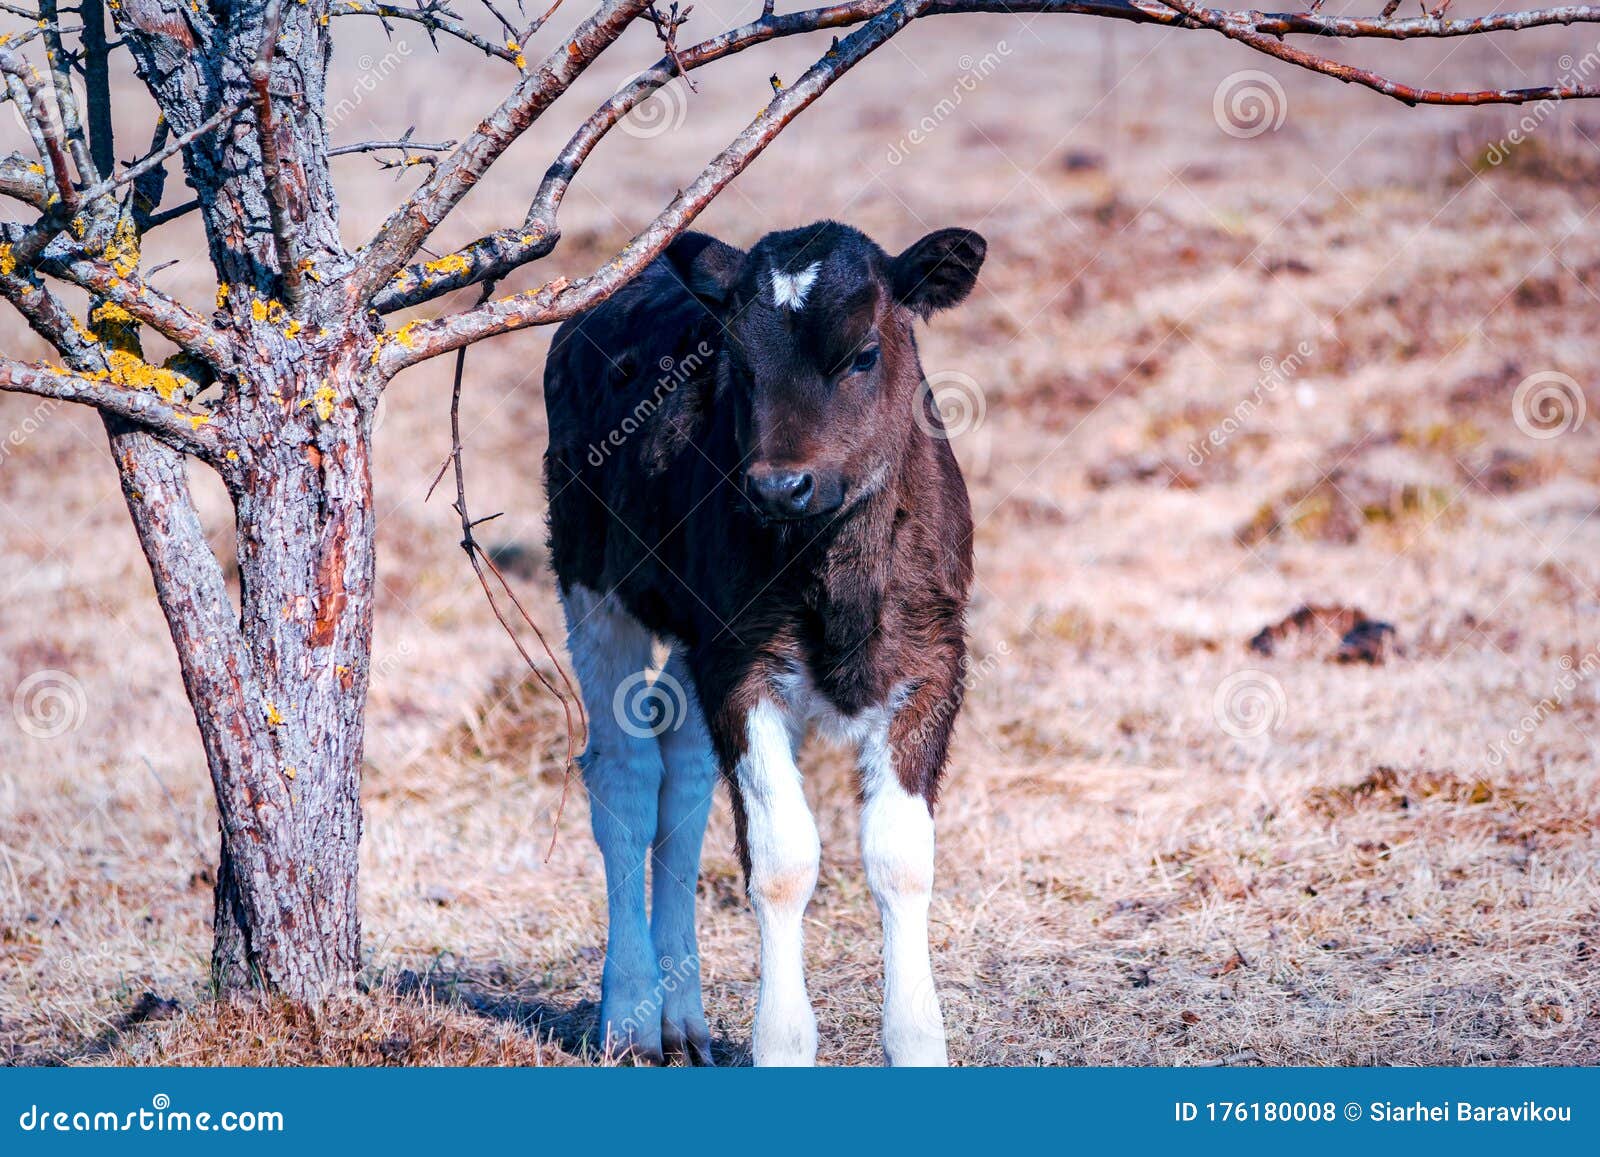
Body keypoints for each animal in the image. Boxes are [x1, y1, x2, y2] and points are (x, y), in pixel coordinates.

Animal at [542, 219, 985, 1066]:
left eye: (864, 354)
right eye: (739, 364)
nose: (781, 485)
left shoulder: (935, 658)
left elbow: (902, 855)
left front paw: (918, 1039)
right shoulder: (740, 662)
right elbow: (782, 858)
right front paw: (782, 1041)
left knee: (682, 777)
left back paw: (681, 1020)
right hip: (593, 578)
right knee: (624, 772)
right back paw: (631, 1016)